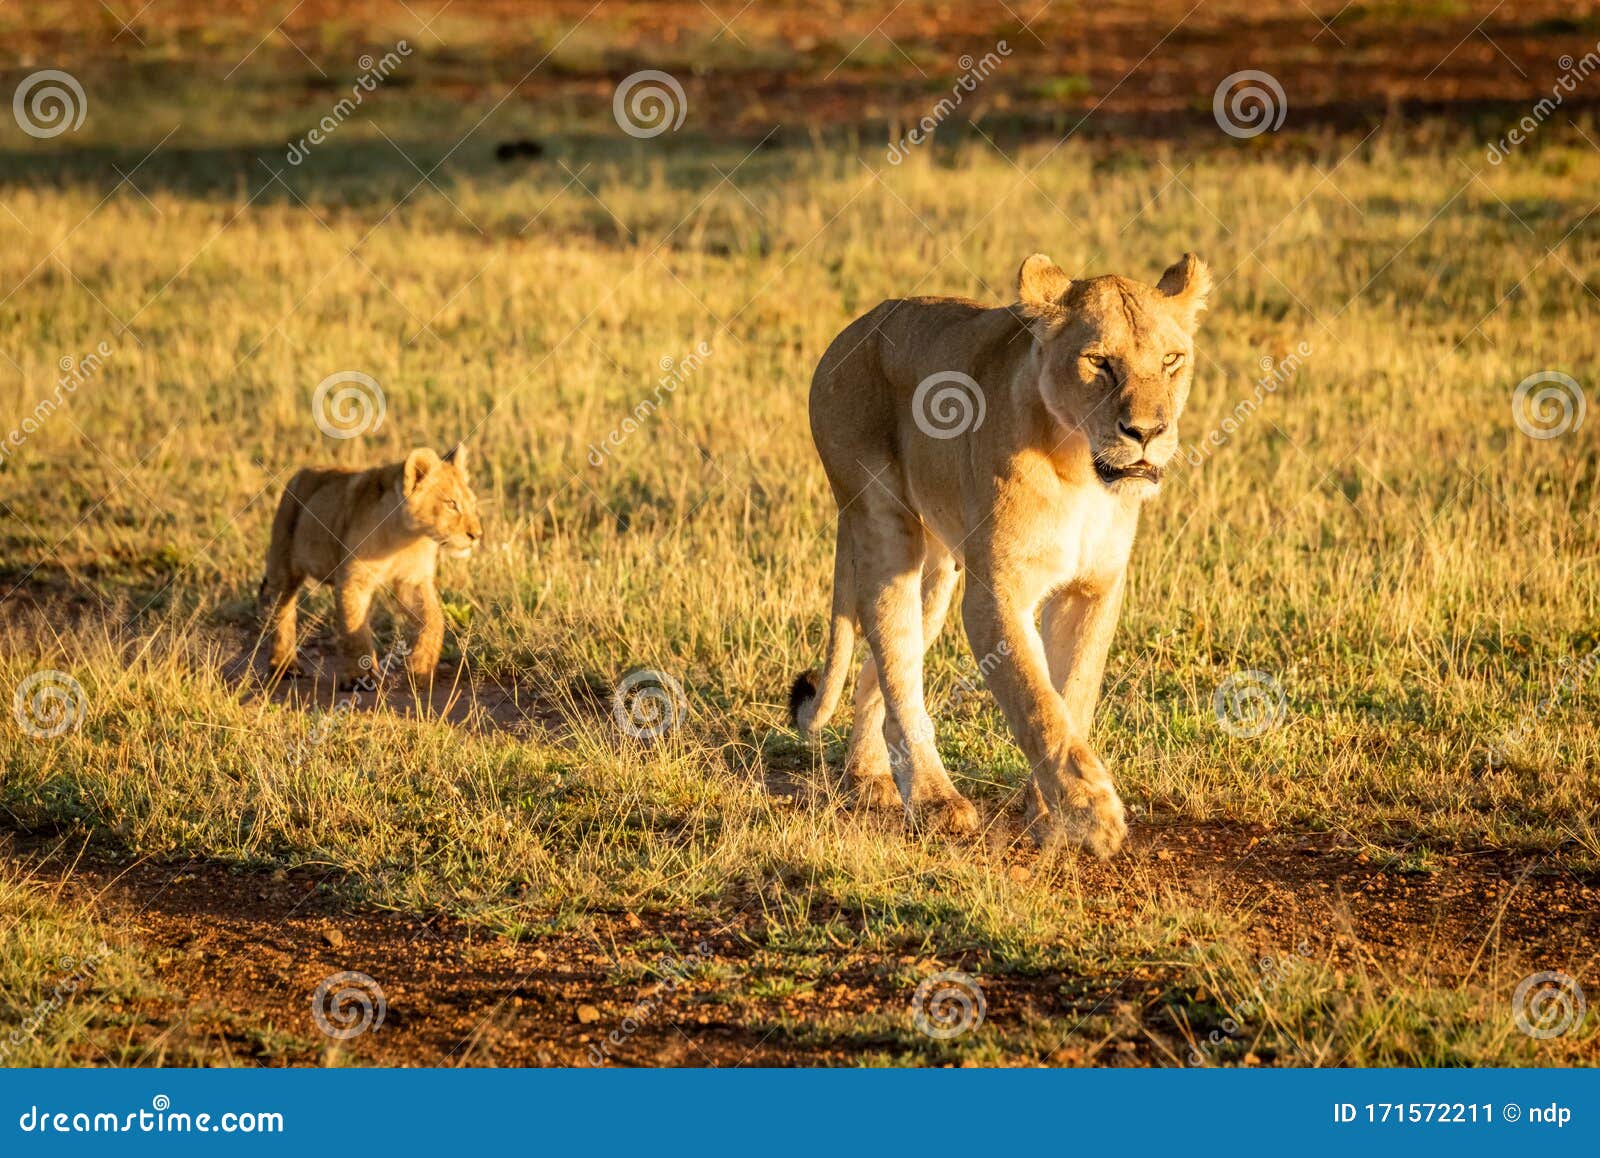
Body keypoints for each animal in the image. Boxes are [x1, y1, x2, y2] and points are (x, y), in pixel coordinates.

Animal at [260, 444, 483, 689]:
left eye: (472, 504)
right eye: (451, 504)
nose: (477, 535)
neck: (406, 536)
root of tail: (301, 473)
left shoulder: (412, 580)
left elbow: (434, 620)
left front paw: (421, 669)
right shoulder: (354, 580)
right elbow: (354, 628)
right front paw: (360, 677)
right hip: (283, 561)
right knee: (281, 610)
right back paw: (284, 666)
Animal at [788, 252, 1211, 858]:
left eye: (1172, 360)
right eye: (1099, 362)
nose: (1147, 432)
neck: (1082, 471)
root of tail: (855, 326)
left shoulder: (1094, 589)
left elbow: (1073, 695)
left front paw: (1051, 812)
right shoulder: (997, 596)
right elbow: (1037, 704)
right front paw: (1093, 815)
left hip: (938, 568)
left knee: (882, 665)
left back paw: (869, 777)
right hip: (881, 524)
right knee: (894, 652)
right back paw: (935, 800)